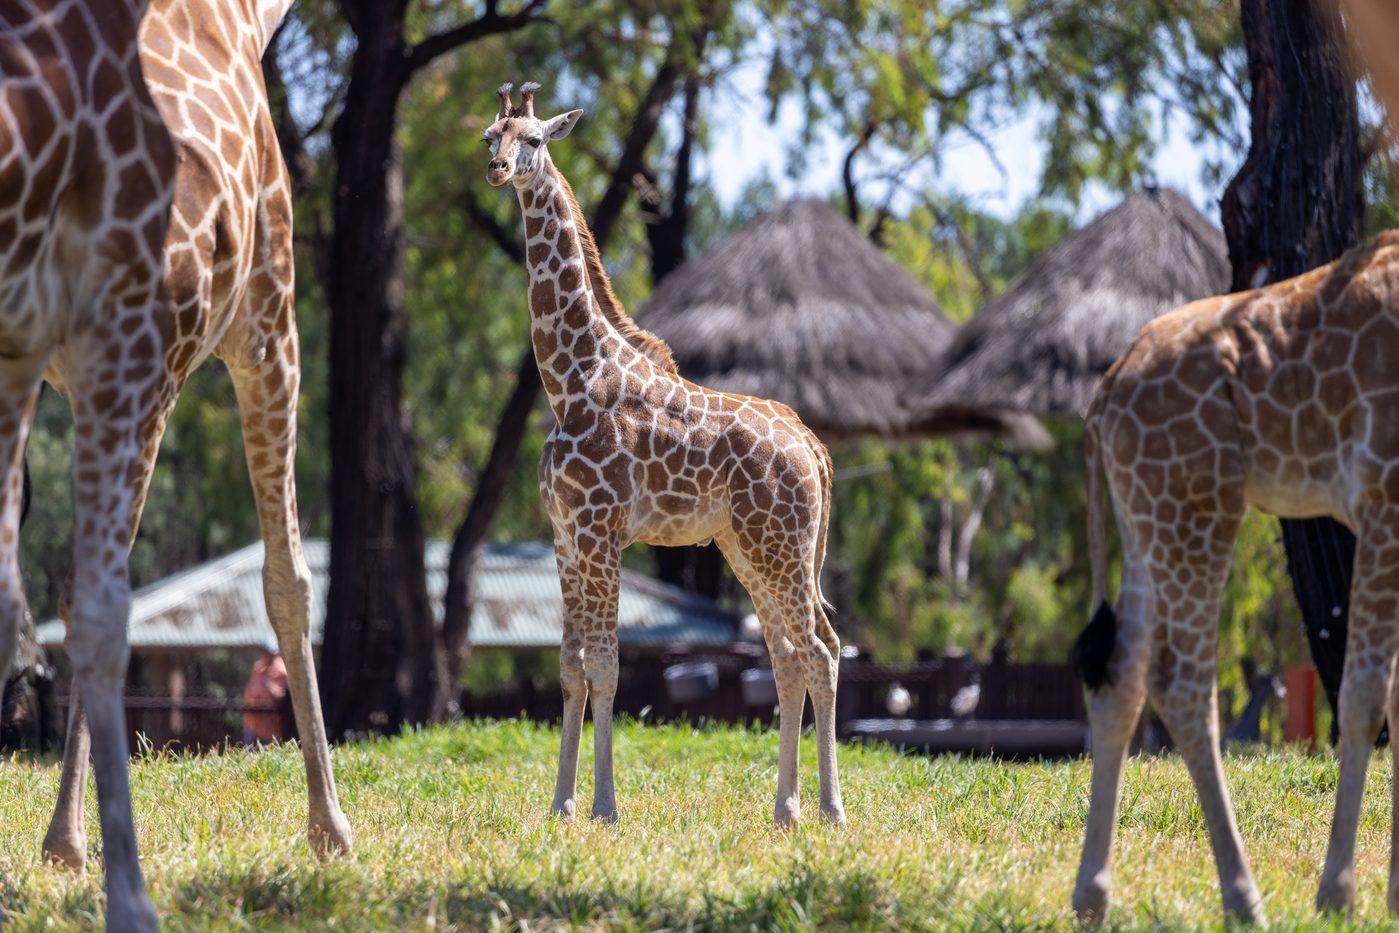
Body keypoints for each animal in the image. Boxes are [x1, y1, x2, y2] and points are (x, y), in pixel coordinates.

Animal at [36, 0, 353, 875]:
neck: (246, 20)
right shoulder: (271, 327)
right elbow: (289, 582)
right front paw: (330, 826)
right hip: (145, 362)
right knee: (103, 592)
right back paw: (75, 839)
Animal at [485, 82, 845, 826]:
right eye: (487, 136)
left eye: (532, 138)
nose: (498, 170)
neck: (572, 381)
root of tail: (814, 448)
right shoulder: (565, 536)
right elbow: (570, 668)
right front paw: (562, 804)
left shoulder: (602, 531)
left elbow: (605, 666)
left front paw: (604, 806)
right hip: (749, 547)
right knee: (789, 654)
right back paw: (785, 809)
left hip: (783, 546)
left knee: (821, 649)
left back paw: (830, 810)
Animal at [1068, 230, 1399, 924]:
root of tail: (1103, 394)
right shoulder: (1383, 494)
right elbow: (1364, 697)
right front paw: (1338, 895)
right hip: (1200, 505)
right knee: (1184, 688)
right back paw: (1244, 901)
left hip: (1146, 515)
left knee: (1121, 681)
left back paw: (1092, 897)